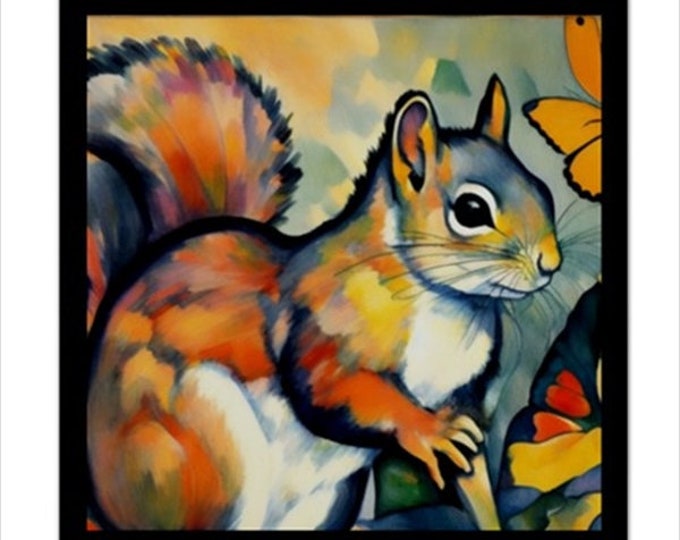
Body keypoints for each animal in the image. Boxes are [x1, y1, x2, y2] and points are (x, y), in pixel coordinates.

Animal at [86, 37, 562, 530]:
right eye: (471, 210)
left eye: (542, 189)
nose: (550, 262)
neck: (448, 307)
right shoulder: (323, 319)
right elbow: (329, 385)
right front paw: (425, 429)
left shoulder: (463, 396)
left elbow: (471, 472)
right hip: (200, 447)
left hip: (327, 500)